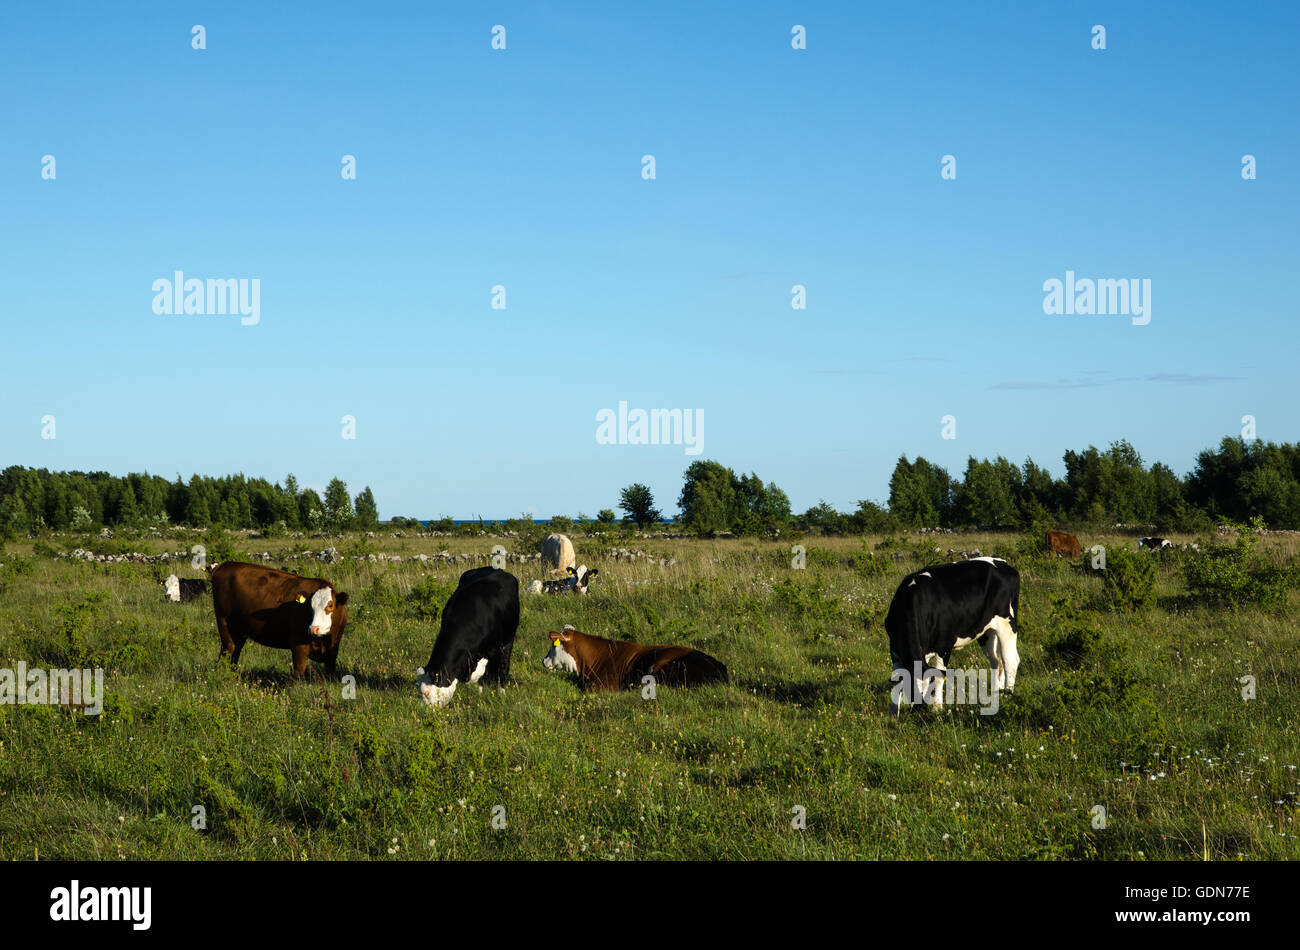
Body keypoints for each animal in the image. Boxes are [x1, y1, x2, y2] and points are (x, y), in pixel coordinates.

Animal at [209, 562, 350, 677]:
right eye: (310, 606)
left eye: (330, 605)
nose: (314, 629)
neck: (322, 641)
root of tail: (223, 566)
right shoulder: (298, 647)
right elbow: (299, 673)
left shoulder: (332, 652)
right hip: (225, 624)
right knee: (227, 651)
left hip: (239, 632)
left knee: (234, 654)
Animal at [417, 566, 520, 708]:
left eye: (427, 693)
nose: (422, 710)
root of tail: (496, 569)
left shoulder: (495, 648)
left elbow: (496, 672)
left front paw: (499, 694)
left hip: (508, 639)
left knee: (503, 665)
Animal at [883, 557, 1021, 715]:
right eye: (910, 688)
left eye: (928, 689)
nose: (920, 711)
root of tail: (1004, 564)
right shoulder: (895, 647)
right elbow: (897, 678)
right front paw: (893, 713)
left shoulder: (944, 645)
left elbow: (939, 677)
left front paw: (937, 708)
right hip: (987, 631)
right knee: (996, 661)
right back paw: (996, 693)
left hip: (1007, 624)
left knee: (1010, 661)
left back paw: (1008, 695)